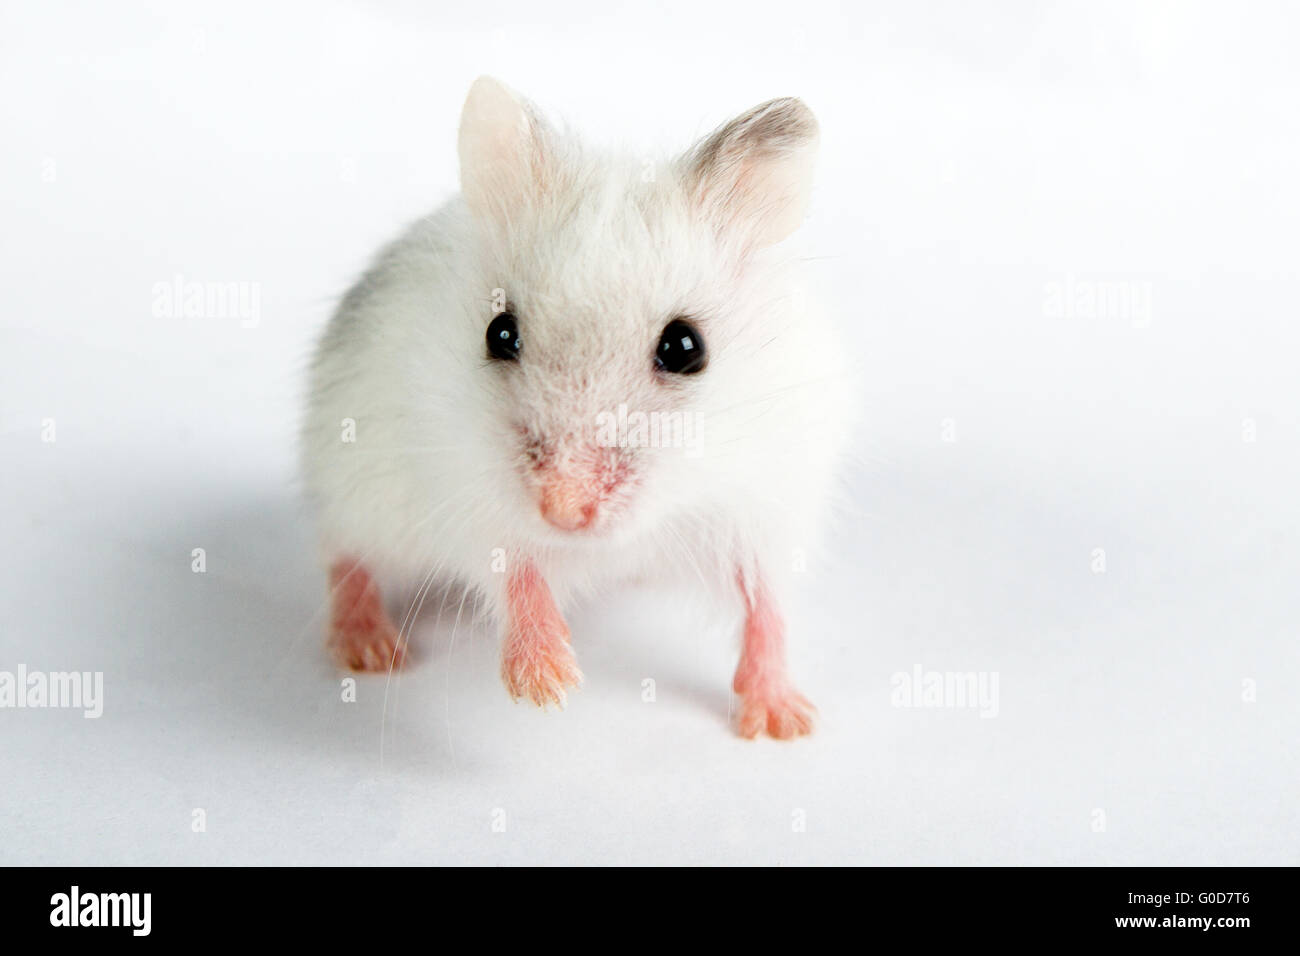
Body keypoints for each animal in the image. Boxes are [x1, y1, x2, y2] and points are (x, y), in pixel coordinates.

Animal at [301, 76, 853, 738]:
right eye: (499, 334)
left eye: (686, 347)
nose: (563, 512)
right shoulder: (460, 487)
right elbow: (513, 568)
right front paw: (548, 688)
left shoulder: (770, 496)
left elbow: (766, 604)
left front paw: (783, 724)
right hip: (353, 484)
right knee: (345, 557)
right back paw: (372, 652)